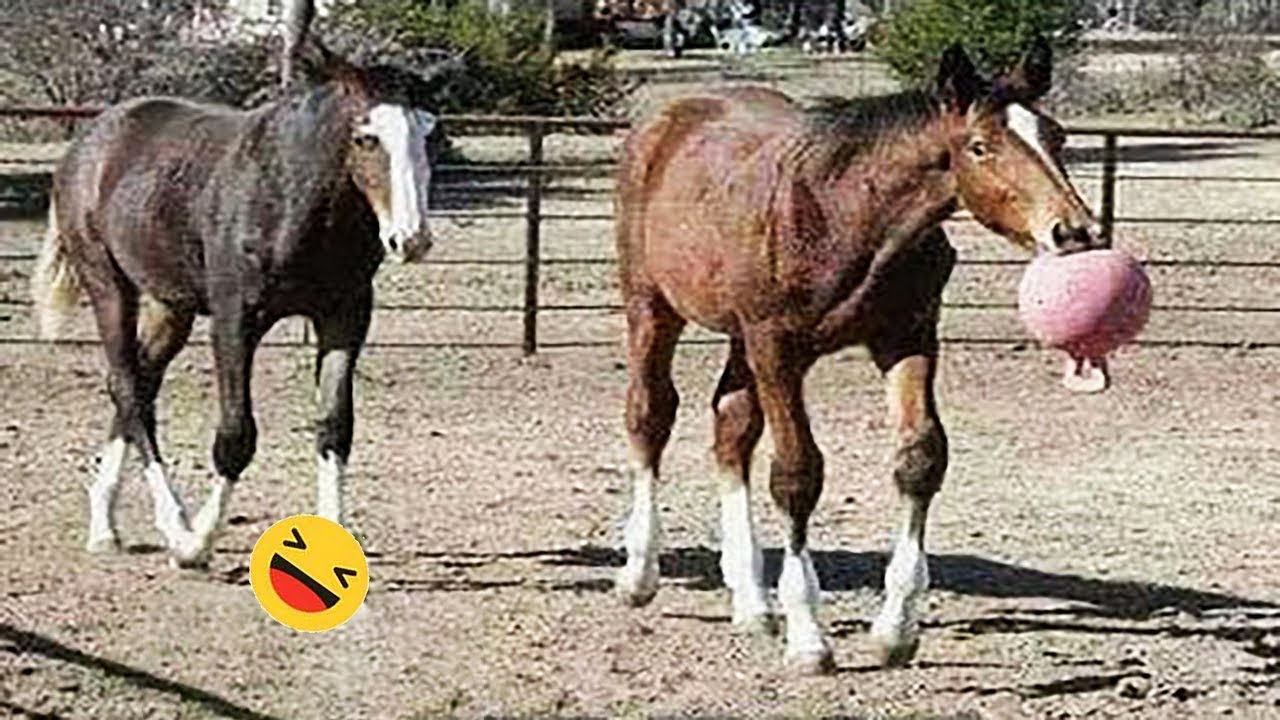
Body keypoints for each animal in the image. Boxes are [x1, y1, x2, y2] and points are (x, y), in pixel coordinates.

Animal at [31, 41, 456, 567]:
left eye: (430, 136)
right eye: (366, 137)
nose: (411, 239)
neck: (290, 198)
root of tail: (90, 140)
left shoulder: (345, 316)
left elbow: (335, 427)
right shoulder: (236, 320)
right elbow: (236, 434)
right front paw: (196, 544)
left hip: (171, 307)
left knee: (138, 385)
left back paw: (104, 525)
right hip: (109, 286)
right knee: (129, 388)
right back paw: (172, 527)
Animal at [612, 37, 1104, 674]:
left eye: (1057, 136)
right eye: (979, 146)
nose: (1075, 231)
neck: (846, 216)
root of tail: (669, 118)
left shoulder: (906, 338)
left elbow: (921, 458)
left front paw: (895, 629)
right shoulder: (778, 348)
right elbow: (797, 474)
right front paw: (809, 638)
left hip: (740, 339)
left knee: (731, 426)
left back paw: (752, 602)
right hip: (653, 306)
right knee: (650, 415)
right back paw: (640, 573)